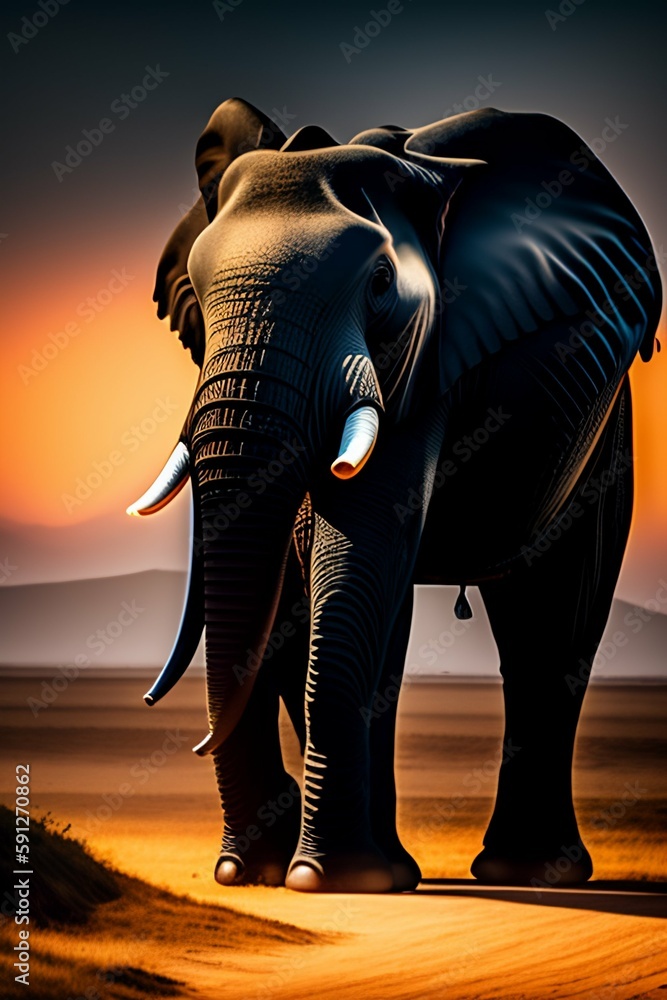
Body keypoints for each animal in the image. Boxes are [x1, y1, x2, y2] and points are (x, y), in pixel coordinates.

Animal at [126, 98, 662, 893]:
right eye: (194, 288)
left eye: (379, 282)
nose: (181, 731)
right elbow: (310, 587)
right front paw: (278, 874)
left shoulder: (430, 353)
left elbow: (355, 551)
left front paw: (322, 881)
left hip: (602, 425)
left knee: (553, 619)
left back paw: (528, 874)